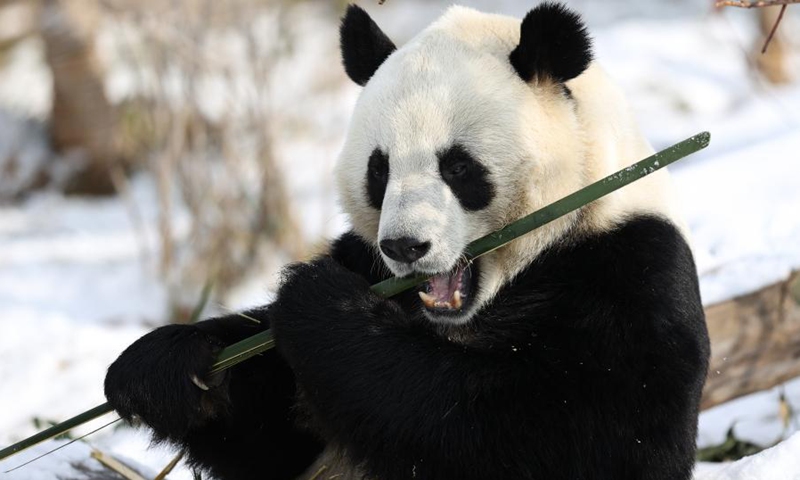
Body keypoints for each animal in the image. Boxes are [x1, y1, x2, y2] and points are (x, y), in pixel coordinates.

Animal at [104, 3, 710, 480]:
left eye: (459, 167)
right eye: (380, 169)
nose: (405, 247)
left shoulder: (629, 271)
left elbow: (576, 436)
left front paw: (317, 303)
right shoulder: (365, 262)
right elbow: (272, 432)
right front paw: (162, 369)